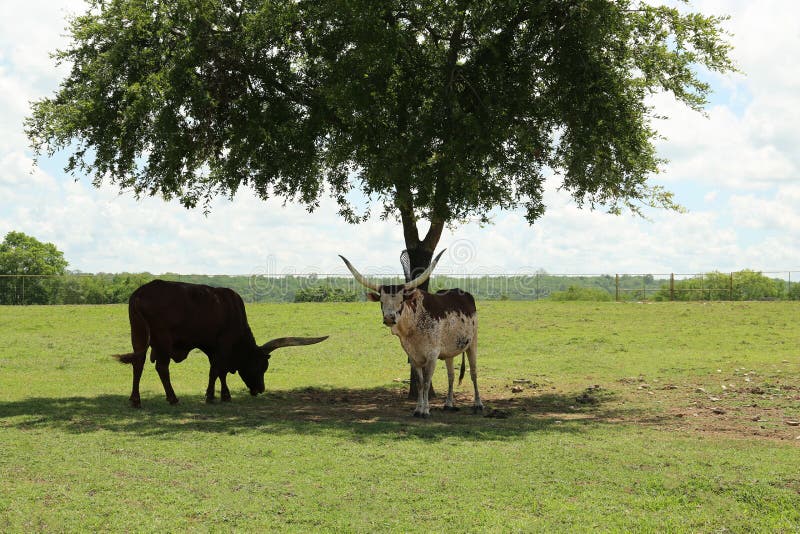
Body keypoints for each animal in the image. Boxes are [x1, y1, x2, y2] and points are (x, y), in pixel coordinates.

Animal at [113, 280, 327, 407]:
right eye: (261, 366)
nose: (260, 389)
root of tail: (140, 293)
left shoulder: (212, 348)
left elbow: (216, 371)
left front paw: (217, 394)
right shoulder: (224, 344)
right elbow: (219, 370)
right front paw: (218, 396)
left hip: (139, 335)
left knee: (138, 363)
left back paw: (135, 399)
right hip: (163, 340)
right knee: (162, 367)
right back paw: (172, 398)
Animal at [339, 249, 483, 418]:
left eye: (401, 301)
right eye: (381, 302)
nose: (389, 318)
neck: (413, 325)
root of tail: (463, 293)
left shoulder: (432, 355)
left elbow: (426, 382)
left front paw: (426, 410)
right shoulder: (413, 356)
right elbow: (419, 383)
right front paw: (418, 409)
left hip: (473, 342)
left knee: (474, 373)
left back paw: (478, 404)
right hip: (449, 351)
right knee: (451, 376)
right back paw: (448, 404)